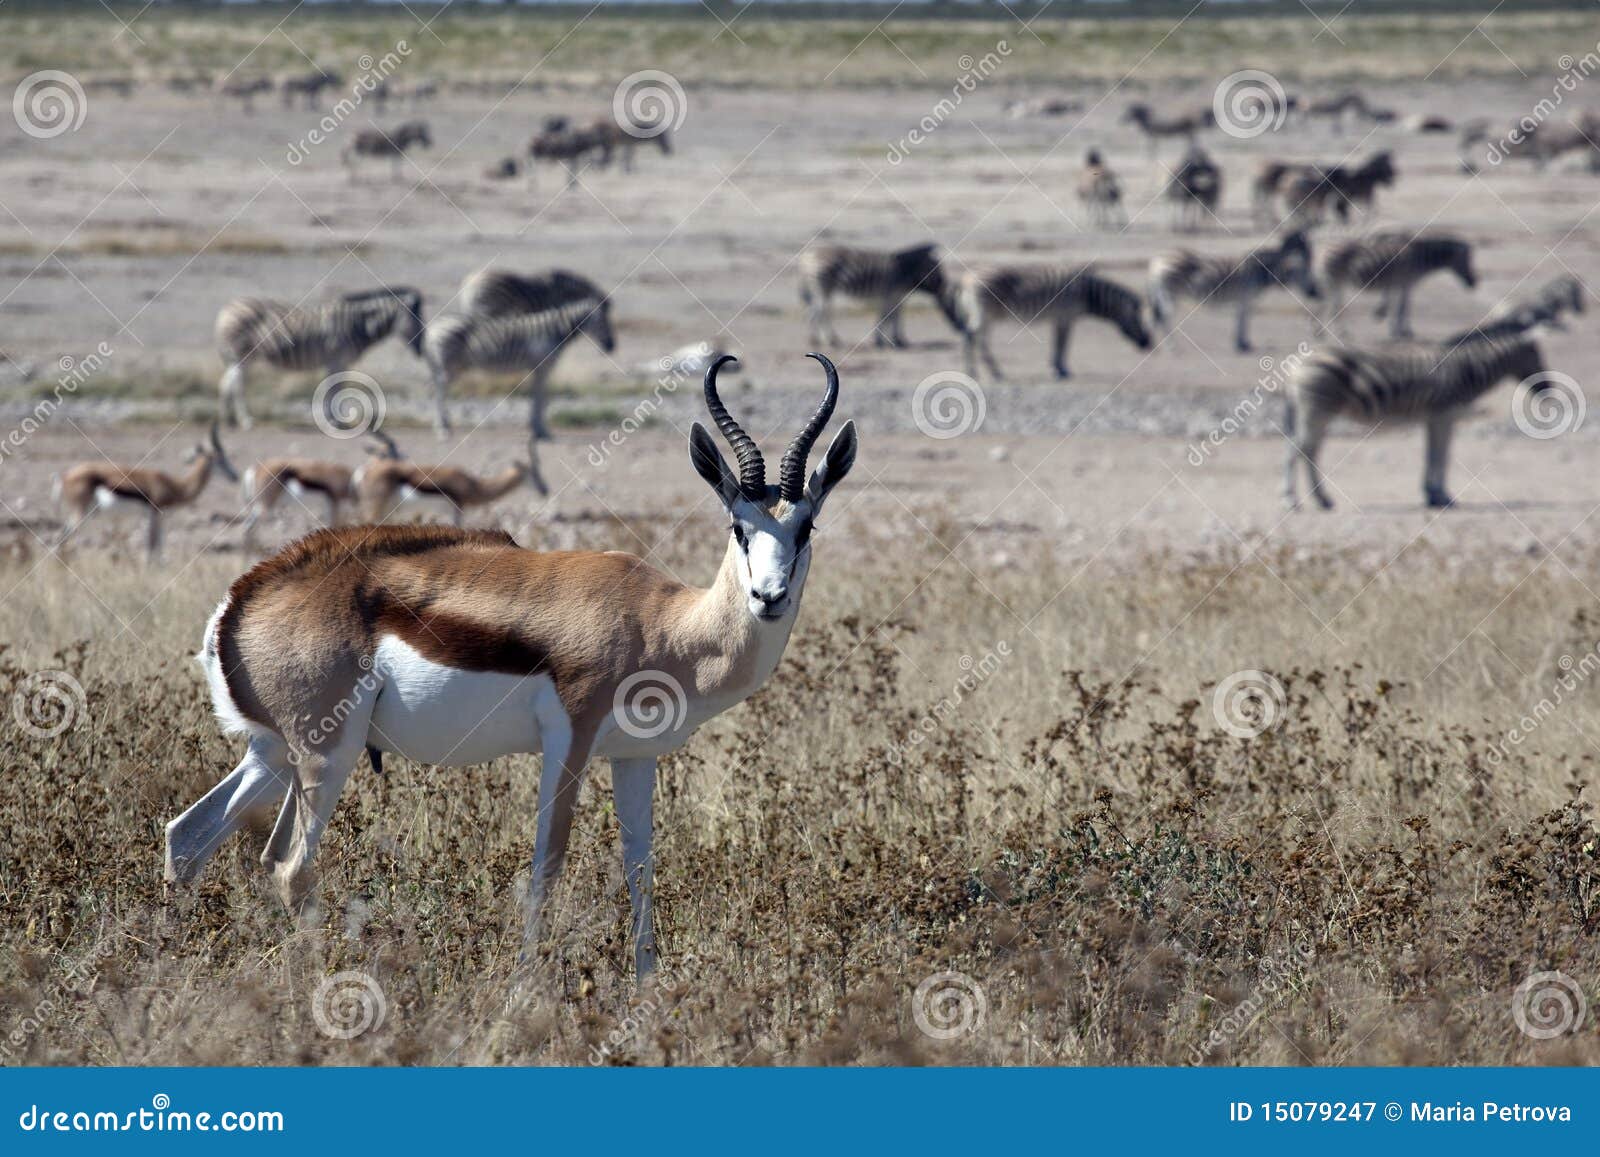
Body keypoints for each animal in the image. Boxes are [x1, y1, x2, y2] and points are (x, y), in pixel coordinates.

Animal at [54, 424, 238, 561]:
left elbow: (159, 546)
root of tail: (64, 476)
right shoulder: (153, 514)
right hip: (81, 513)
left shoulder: (160, 517)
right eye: (219, 459)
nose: (234, 476)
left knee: (62, 536)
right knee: (66, 537)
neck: (175, 486)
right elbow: (151, 548)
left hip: (86, 512)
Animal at [164, 354, 859, 980]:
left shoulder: (635, 756)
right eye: (739, 526)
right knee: (288, 867)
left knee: (189, 836)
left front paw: (647, 989)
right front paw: (526, 987)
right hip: (326, 753)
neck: (659, 621)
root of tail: (243, 597)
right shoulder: (570, 741)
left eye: (806, 527)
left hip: (272, 753)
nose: (768, 597)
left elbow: (640, 865)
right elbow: (547, 862)